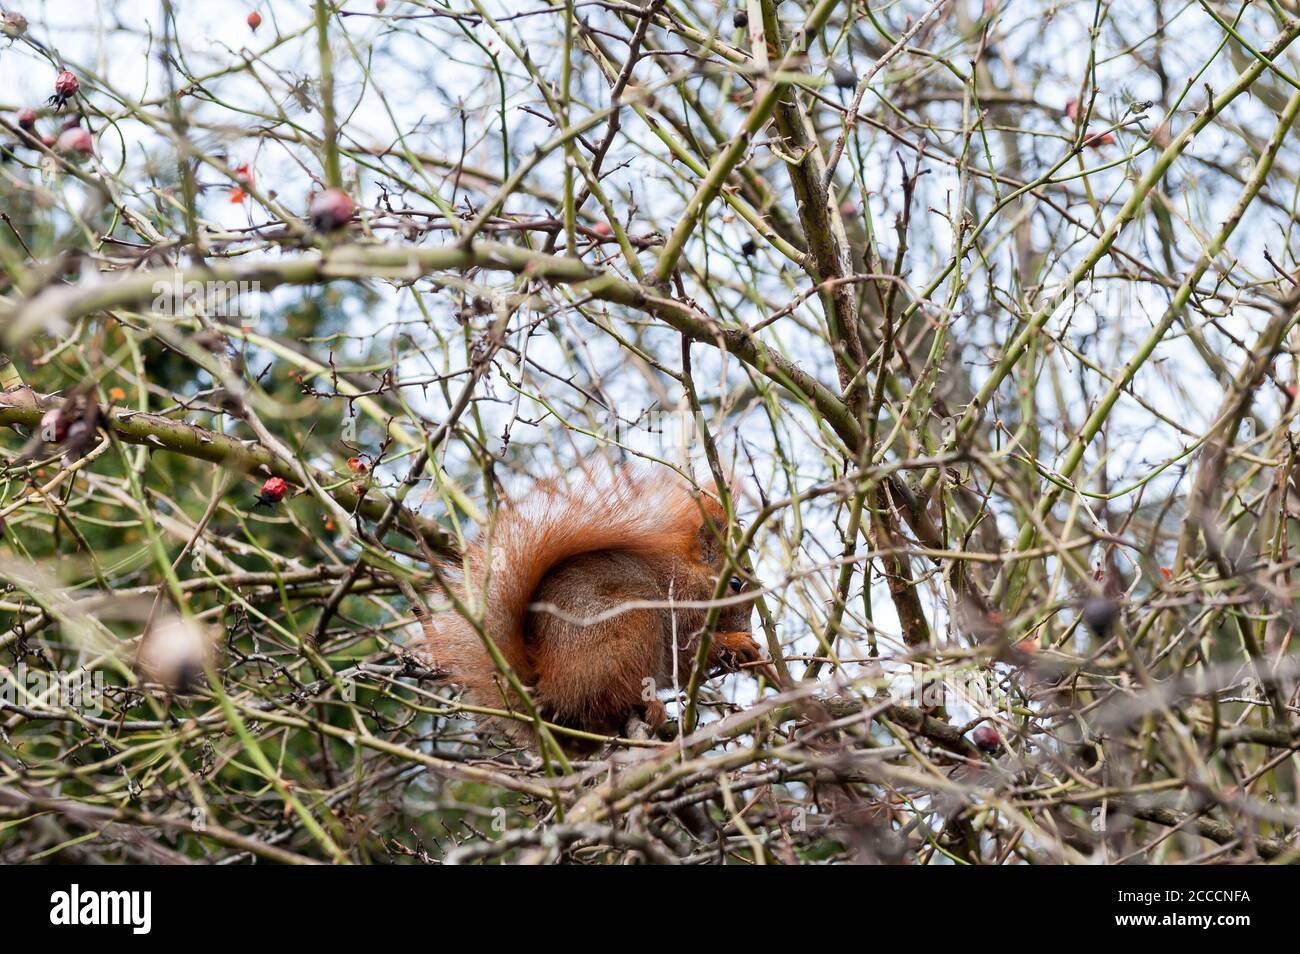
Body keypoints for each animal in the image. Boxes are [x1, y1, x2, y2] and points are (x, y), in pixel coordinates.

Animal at [418, 466, 777, 744]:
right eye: (734, 584)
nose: (748, 632)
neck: (687, 576)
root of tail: (550, 692)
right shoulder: (680, 612)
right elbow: (688, 652)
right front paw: (737, 642)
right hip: (631, 626)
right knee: (611, 695)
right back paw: (648, 706)